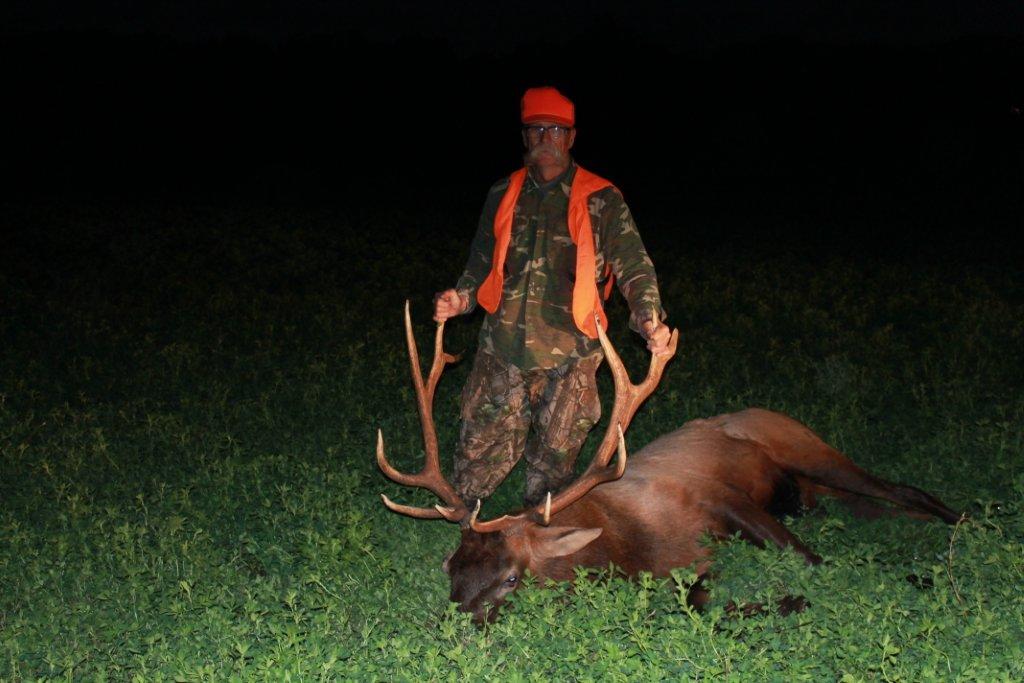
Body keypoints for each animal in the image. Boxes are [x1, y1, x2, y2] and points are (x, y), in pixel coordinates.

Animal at [376, 303, 960, 624]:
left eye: (513, 579)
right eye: (451, 570)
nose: (454, 626)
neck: (630, 548)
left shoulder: (718, 497)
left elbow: (813, 561)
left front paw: (908, 581)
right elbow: (698, 599)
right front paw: (775, 603)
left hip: (810, 449)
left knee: (908, 490)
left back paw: (966, 528)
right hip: (817, 496)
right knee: (889, 504)